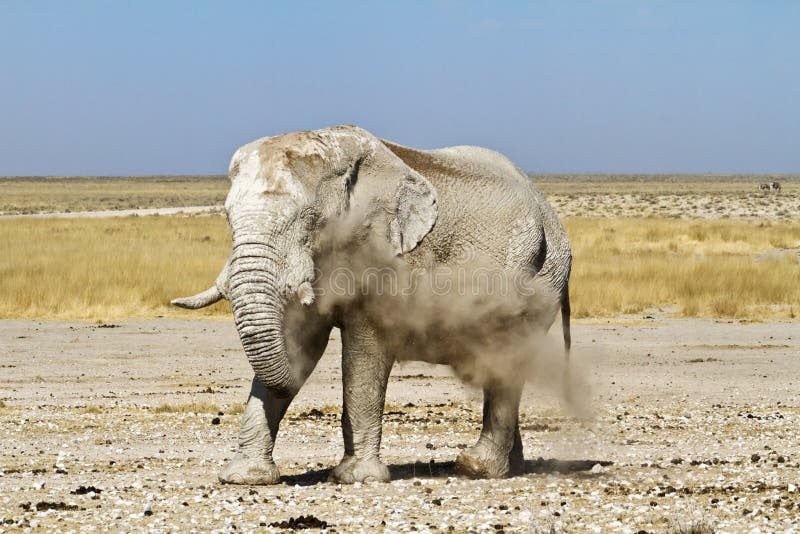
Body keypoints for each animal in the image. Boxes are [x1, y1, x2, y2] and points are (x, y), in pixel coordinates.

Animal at [172, 125, 572, 484]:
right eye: (227, 217)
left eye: (310, 220)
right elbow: (303, 342)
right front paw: (244, 478)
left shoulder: (384, 258)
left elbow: (364, 352)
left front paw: (356, 477)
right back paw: (512, 468)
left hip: (541, 274)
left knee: (509, 357)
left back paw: (477, 468)